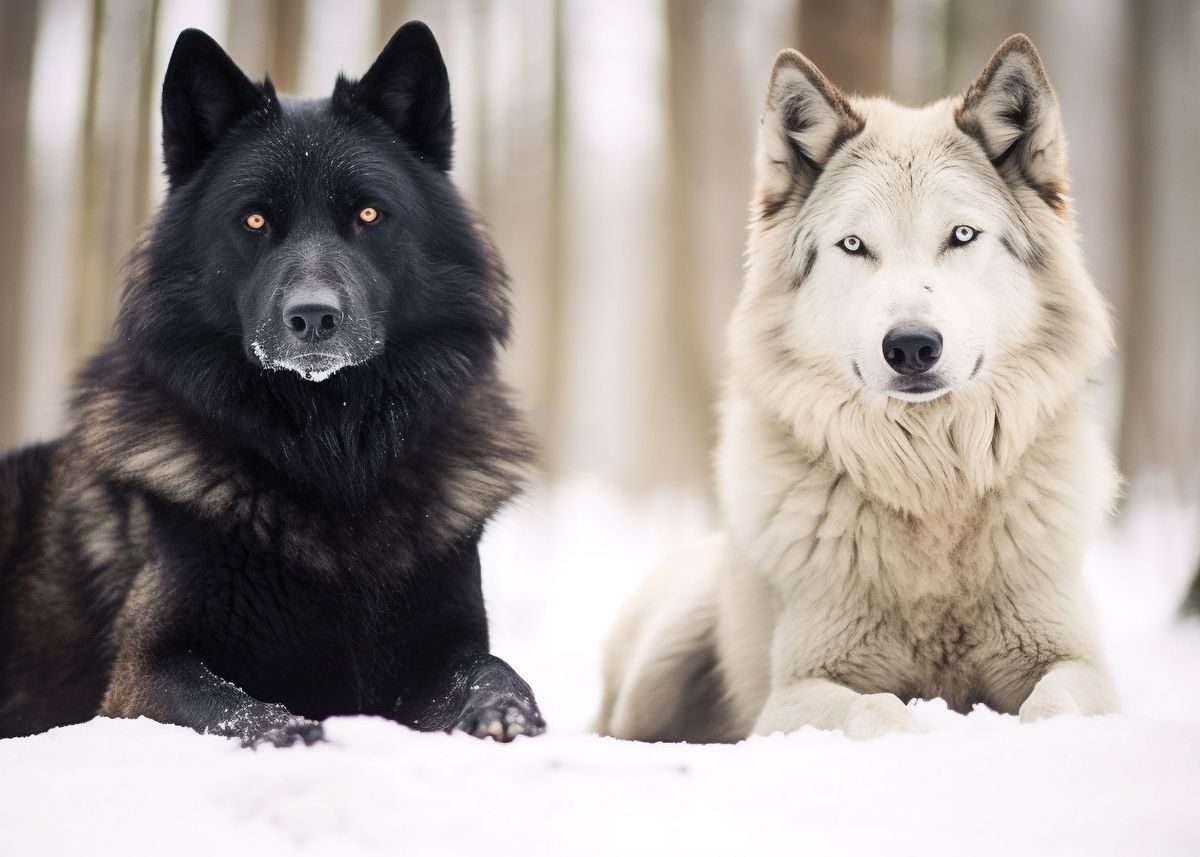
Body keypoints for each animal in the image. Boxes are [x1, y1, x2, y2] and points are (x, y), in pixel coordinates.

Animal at [0, 23, 545, 746]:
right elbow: (226, 700)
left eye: (368, 214)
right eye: (255, 220)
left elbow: (491, 667)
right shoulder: (143, 674)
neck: (331, 454)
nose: (313, 317)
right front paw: (283, 729)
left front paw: (504, 709)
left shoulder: (438, 650)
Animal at [596, 35, 1118, 742]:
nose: (912, 347)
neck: (930, 483)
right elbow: (879, 711)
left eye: (961, 235)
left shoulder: (1078, 663)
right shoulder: (793, 695)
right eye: (853, 245)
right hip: (664, 654)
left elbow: (1053, 707)